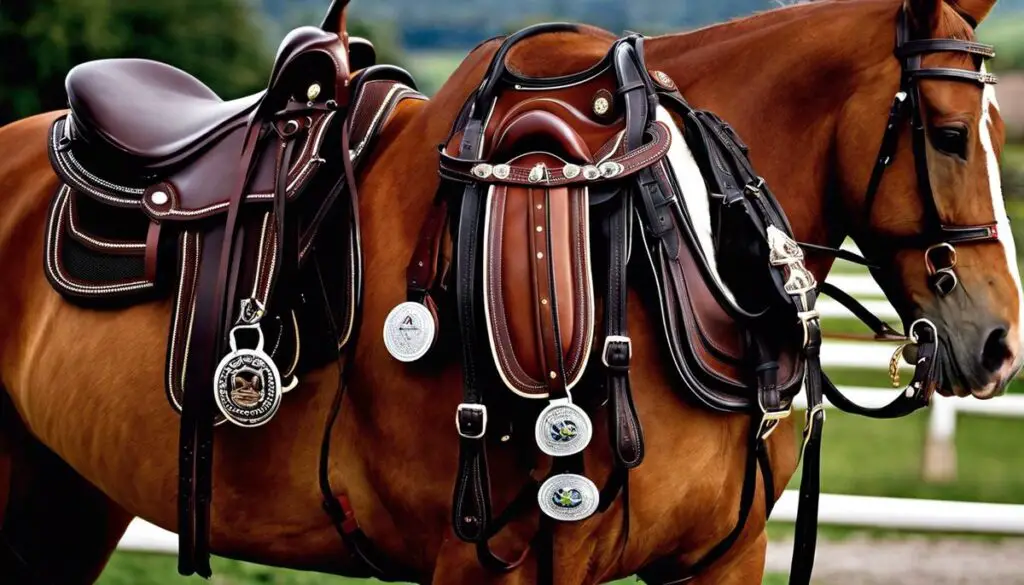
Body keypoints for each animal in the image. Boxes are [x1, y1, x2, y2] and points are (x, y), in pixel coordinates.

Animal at [0, 0, 1015, 583]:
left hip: (64, 492)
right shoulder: (486, 559)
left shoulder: (724, 557)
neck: (662, 240)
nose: (1001, 341)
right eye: (950, 132)